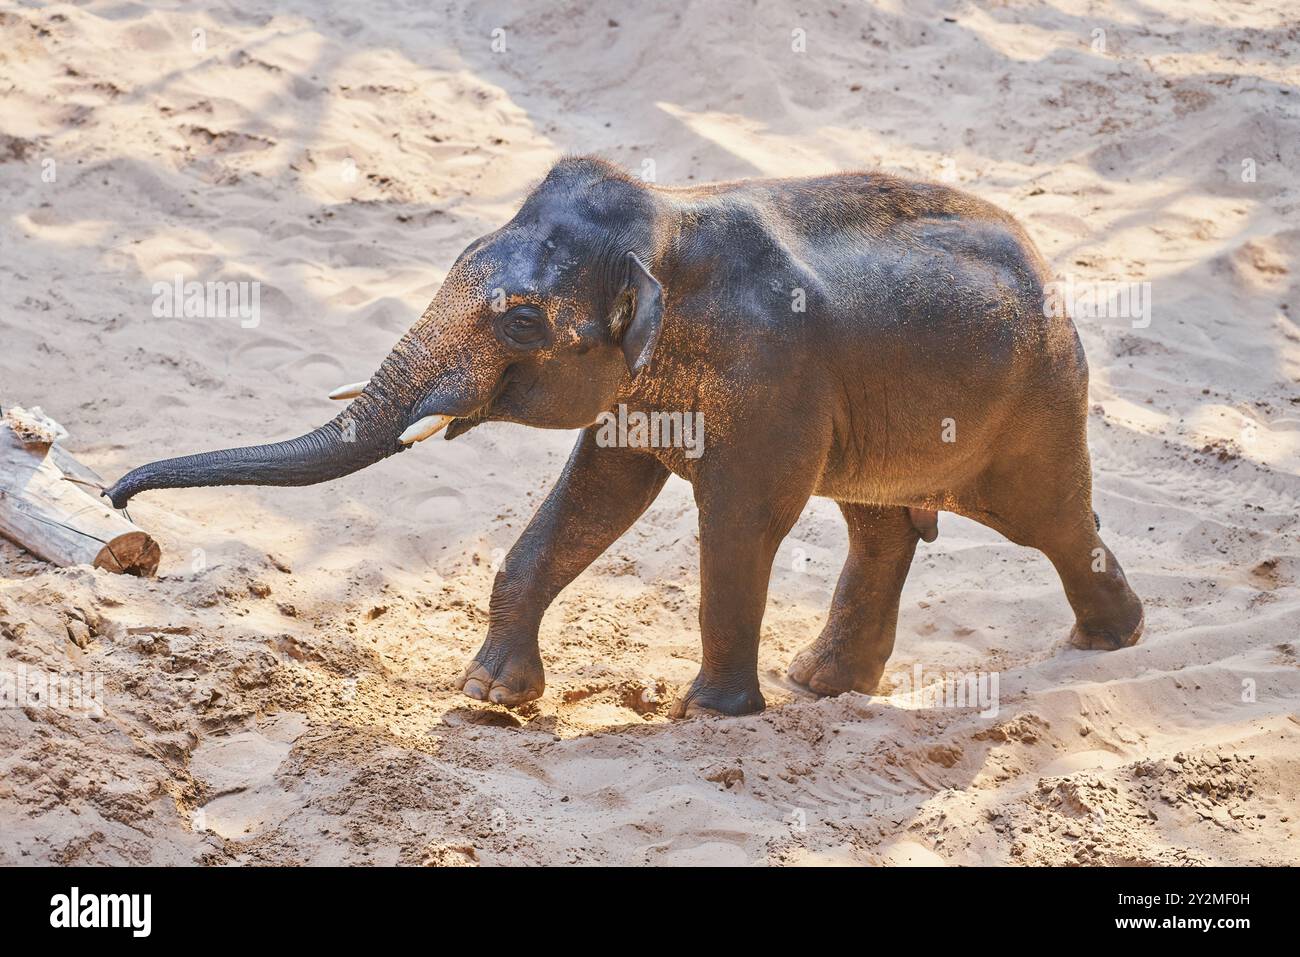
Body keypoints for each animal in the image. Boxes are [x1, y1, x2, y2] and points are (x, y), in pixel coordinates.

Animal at [106, 156, 1144, 717]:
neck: (669, 217)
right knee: (880, 526)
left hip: (1037, 400)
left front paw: (706, 713)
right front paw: (489, 696)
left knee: (1050, 519)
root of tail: (1049, 269)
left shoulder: (773, 377)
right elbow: (596, 494)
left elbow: (742, 519)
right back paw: (821, 684)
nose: (117, 501)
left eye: (524, 321)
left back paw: (1113, 640)